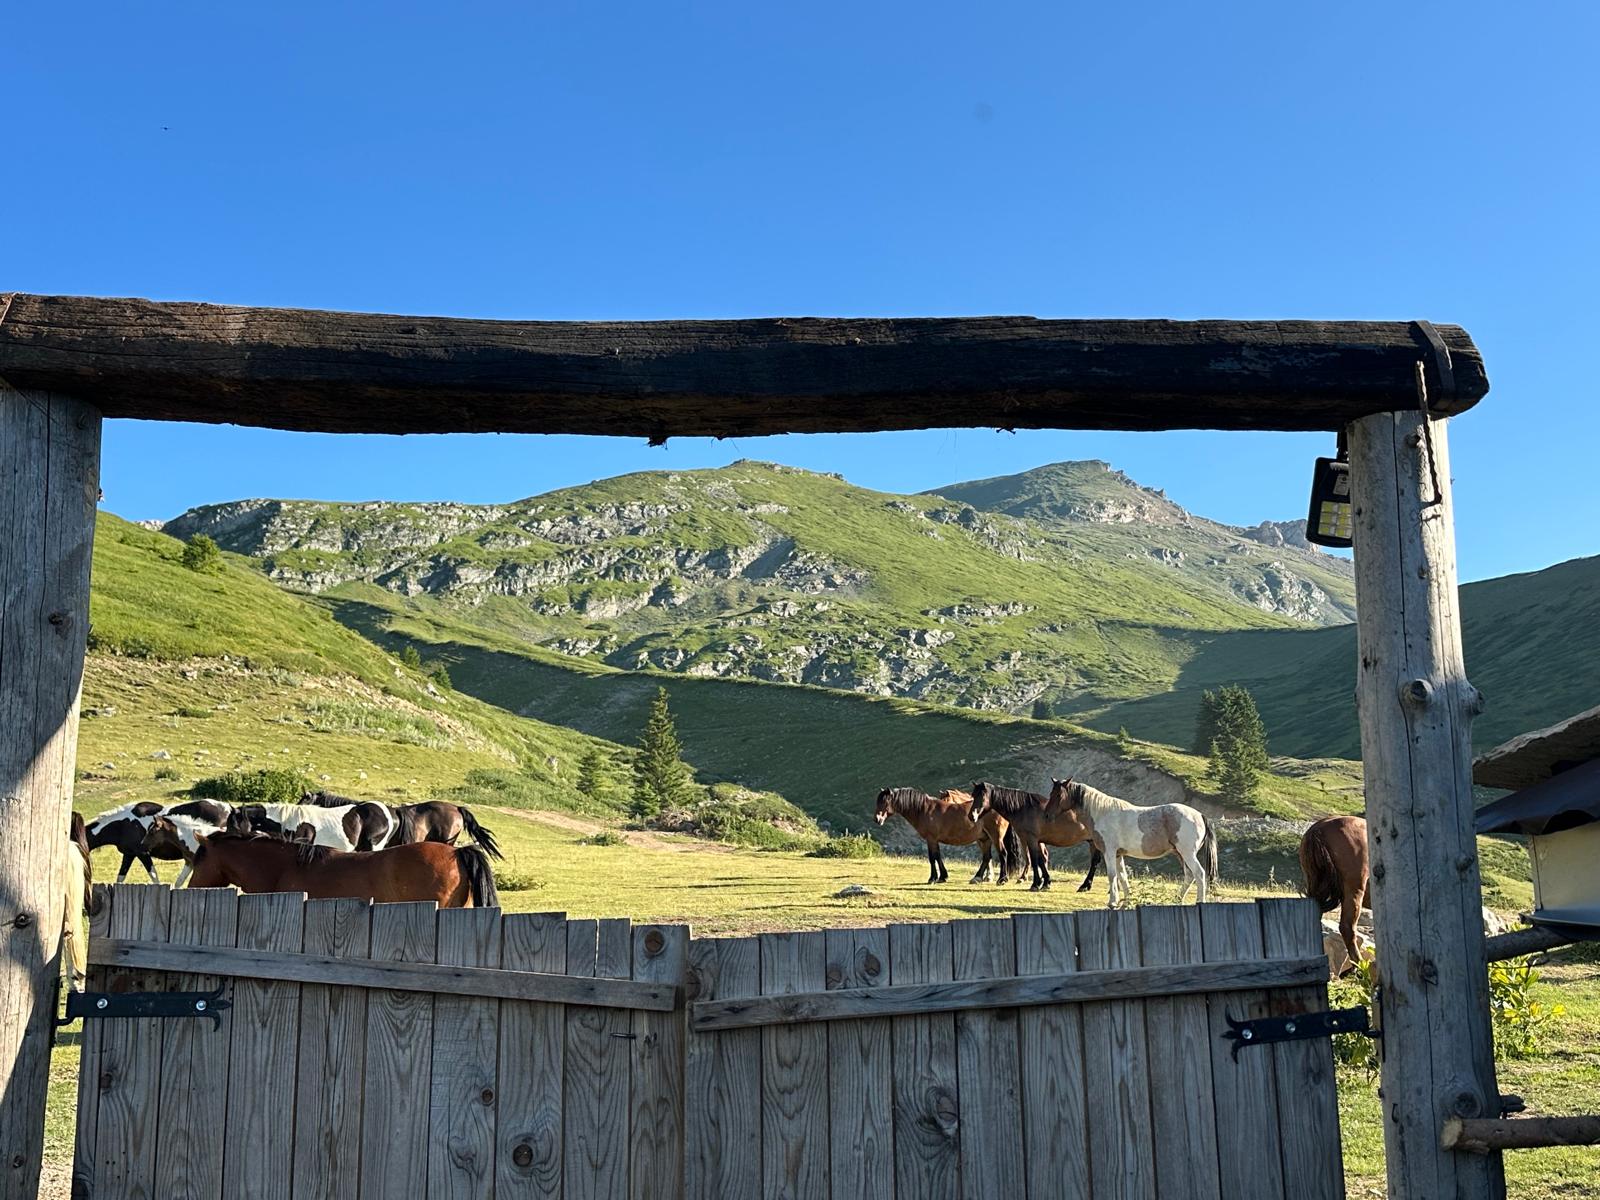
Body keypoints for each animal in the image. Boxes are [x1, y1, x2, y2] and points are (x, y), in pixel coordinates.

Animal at [874, 787, 1021, 884]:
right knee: (986, 858)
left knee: (1002, 854)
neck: (924, 809)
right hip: (985, 839)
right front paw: (942, 877)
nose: (877, 819)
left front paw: (933, 878)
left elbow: (932, 857)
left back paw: (1002, 879)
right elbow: (938, 856)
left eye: (884, 802)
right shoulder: (934, 840)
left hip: (995, 837)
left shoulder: (931, 839)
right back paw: (977, 878)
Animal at [966, 782, 1105, 892]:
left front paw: (1035, 884)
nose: (971, 816)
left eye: (982, 796)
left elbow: (1034, 860)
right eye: (973, 795)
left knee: (1094, 862)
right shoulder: (1036, 840)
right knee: (1095, 861)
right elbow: (1040, 860)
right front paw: (1046, 883)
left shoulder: (1031, 839)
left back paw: (1085, 885)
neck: (1024, 808)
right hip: (1092, 842)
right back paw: (1086, 885)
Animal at [1049, 778, 1216, 906]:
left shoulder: (1109, 852)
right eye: (1051, 793)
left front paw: (1112, 903)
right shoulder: (1118, 855)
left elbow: (1112, 875)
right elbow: (1122, 877)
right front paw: (1126, 901)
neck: (1102, 813)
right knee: (1189, 876)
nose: (1048, 815)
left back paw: (1199, 901)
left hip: (1187, 853)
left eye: (1058, 794)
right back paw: (1176, 900)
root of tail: (1200, 815)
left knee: (1199, 873)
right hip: (1180, 854)